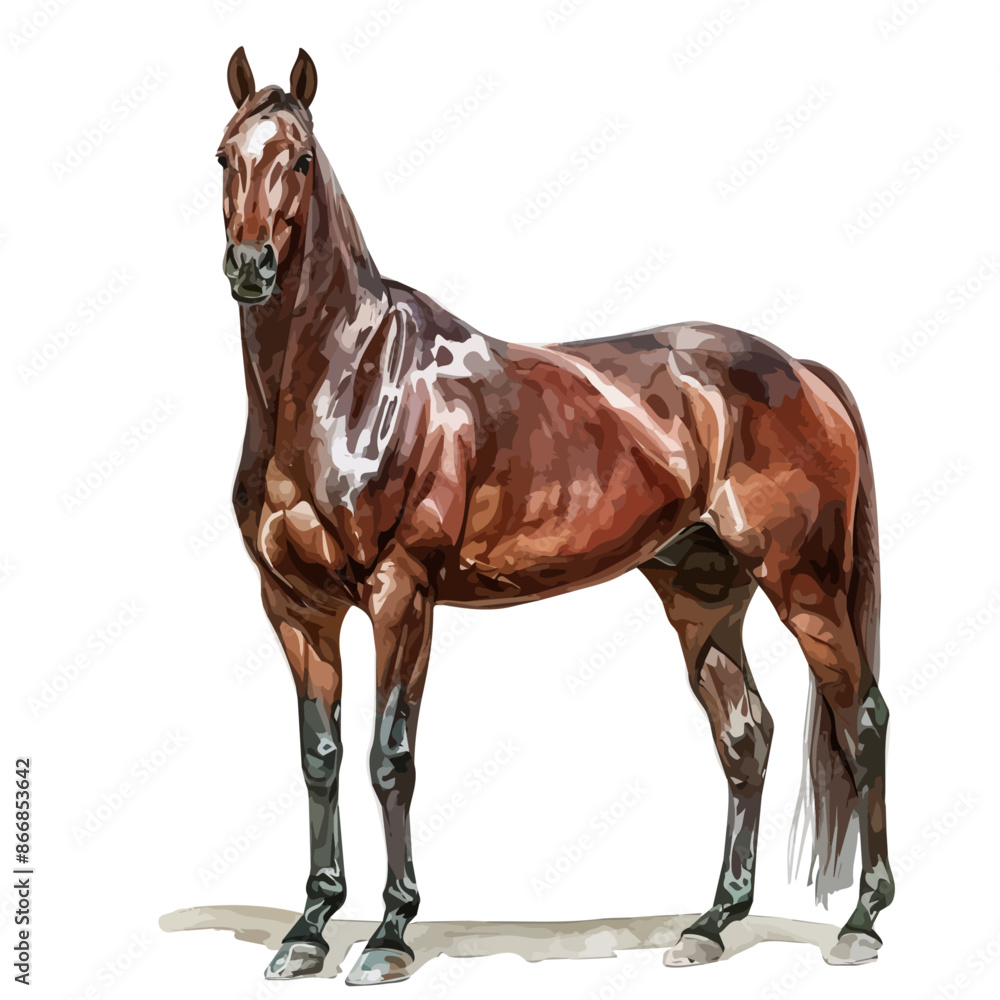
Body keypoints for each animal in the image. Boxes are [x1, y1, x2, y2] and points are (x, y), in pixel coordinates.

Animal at [216, 46, 893, 985]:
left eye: (304, 160)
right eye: (223, 156)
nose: (251, 266)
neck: (347, 386)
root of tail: (803, 369)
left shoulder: (401, 595)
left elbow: (391, 759)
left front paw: (389, 935)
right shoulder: (295, 607)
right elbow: (321, 759)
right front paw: (309, 930)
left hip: (806, 586)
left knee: (861, 720)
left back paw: (861, 922)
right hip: (703, 595)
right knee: (744, 736)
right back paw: (711, 923)